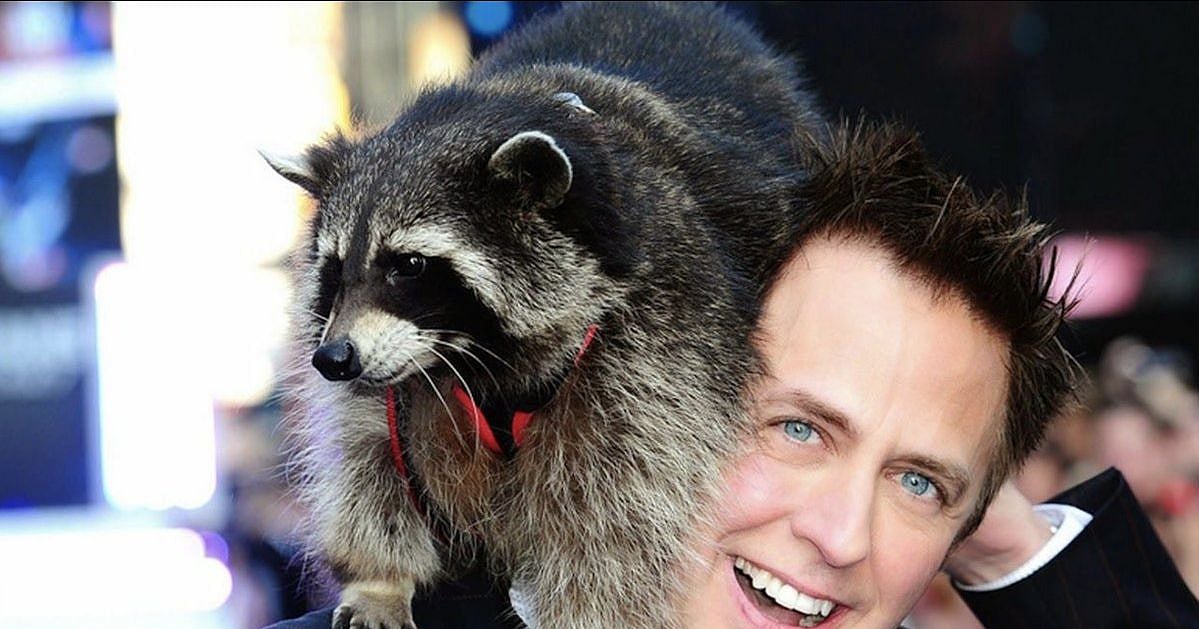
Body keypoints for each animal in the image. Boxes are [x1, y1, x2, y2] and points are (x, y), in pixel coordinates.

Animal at [266, 3, 820, 628]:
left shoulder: (665, 335)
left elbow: (618, 512)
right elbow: (365, 449)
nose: (333, 359)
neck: (475, 352)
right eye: (336, 268)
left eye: (408, 264)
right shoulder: (384, 368)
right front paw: (378, 577)